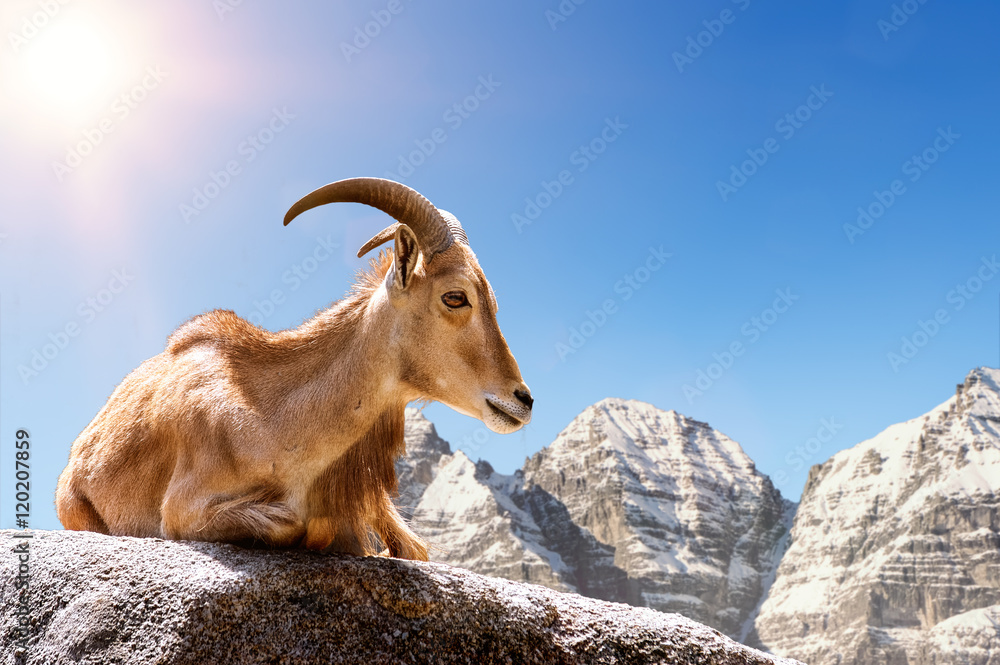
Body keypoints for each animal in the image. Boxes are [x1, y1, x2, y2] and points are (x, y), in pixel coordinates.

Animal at [55, 177, 533, 560]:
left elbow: (409, 547)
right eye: (455, 296)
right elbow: (292, 523)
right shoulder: (181, 512)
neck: (276, 421)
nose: (523, 399)